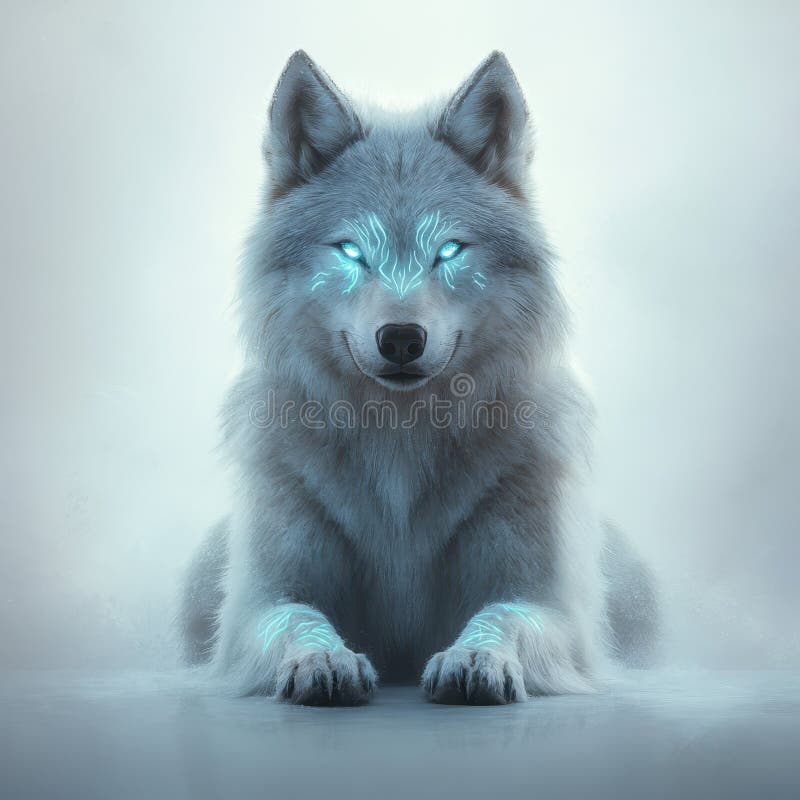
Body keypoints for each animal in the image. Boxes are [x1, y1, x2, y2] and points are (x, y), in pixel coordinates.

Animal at [180, 50, 658, 705]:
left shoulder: (549, 604)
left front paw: (475, 659)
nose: (402, 338)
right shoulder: (260, 603)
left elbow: (502, 616)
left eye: (449, 250)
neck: (400, 442)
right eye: (351, 251)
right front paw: (324, 661)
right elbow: (299, 619)